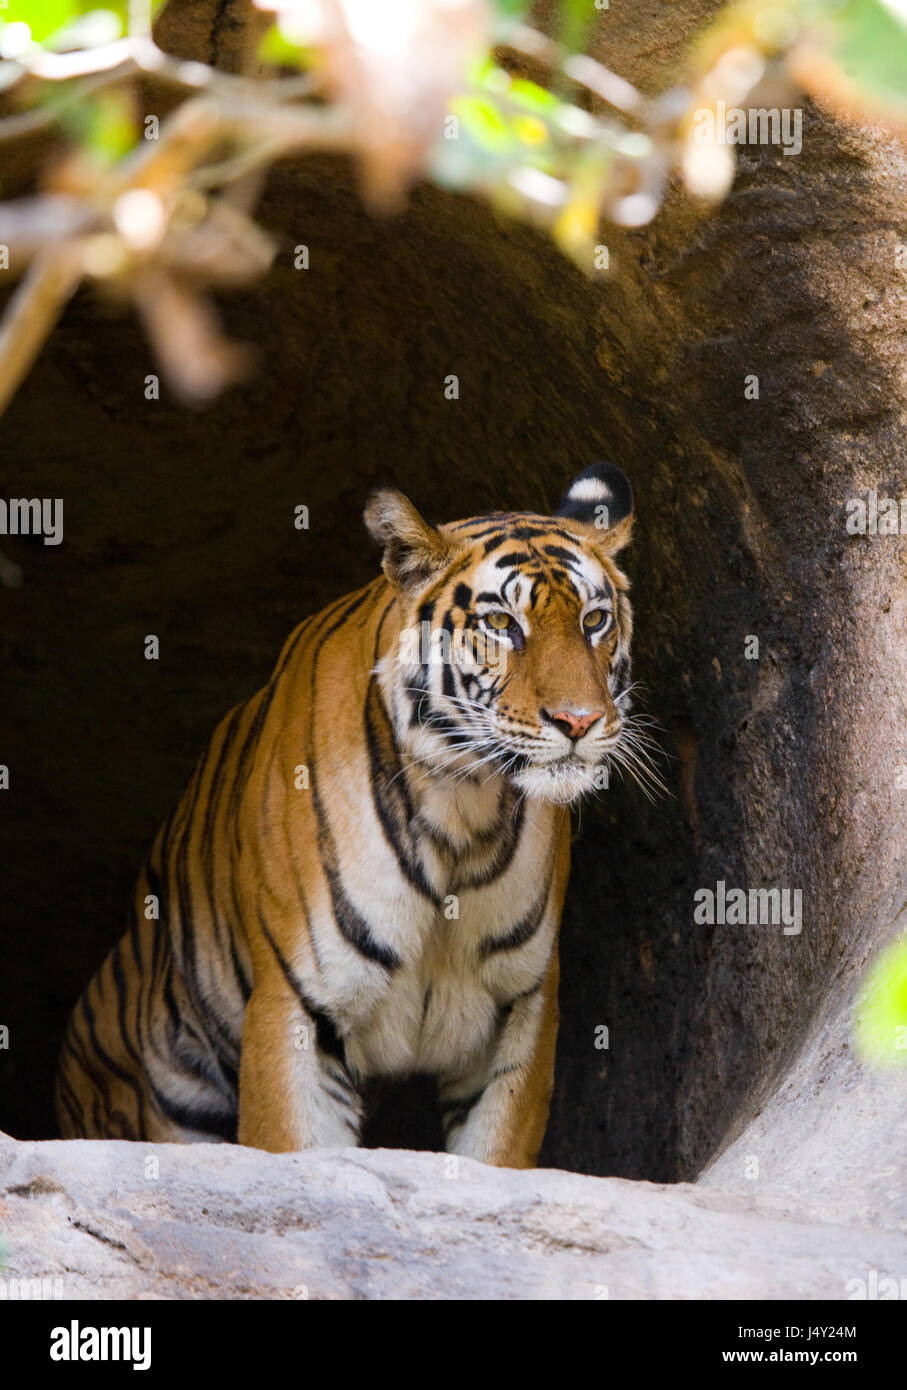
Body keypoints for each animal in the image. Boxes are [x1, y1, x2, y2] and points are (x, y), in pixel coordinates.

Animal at [55, 461, 640, 1168]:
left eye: (595, 619)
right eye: (502, 624)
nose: (580, 722)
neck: (463, 814)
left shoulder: (519, 1011)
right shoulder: (297, 1006)